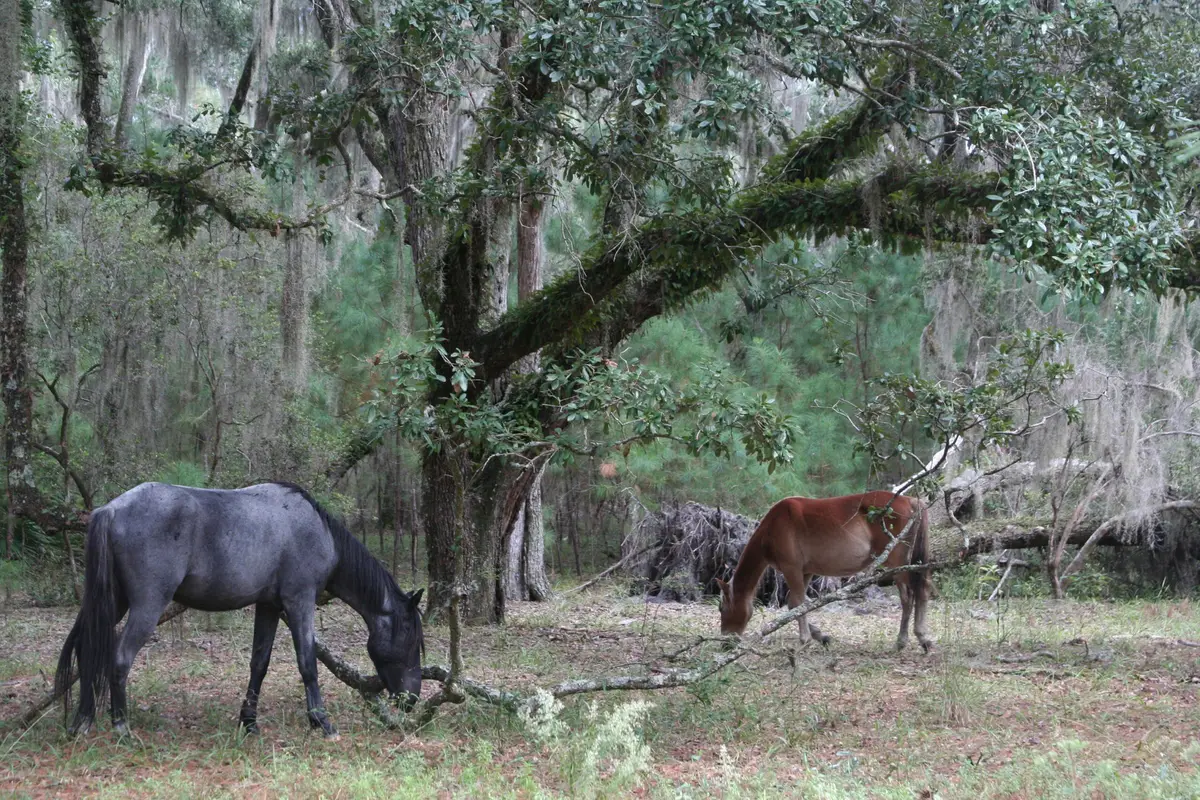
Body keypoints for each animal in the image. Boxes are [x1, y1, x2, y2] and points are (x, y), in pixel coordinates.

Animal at [55, 481, 424, 739]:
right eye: (410, 637)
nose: (412, 698)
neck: (317, 531)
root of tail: (111, 509)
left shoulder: (269, 606)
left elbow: (259, 664)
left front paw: (249, 722)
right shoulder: (300, 602)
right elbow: (307, 663)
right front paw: (321, 721)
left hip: (112, 602)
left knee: (87, 650)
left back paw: (81, 722)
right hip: (147, 605)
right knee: (119, 658)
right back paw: (121, 727)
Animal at [715, 491, 932, 652]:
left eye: (722, 608)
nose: (726, 642)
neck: (774, 527)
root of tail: (909, 500)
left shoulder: (791, 568)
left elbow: (798, 603)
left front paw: (805, 640)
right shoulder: (806, 571)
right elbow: (795, 603)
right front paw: (820, 636)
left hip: (896, 562)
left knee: (909, 596)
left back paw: (905, 640)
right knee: (922, 590)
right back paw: (920, 638)